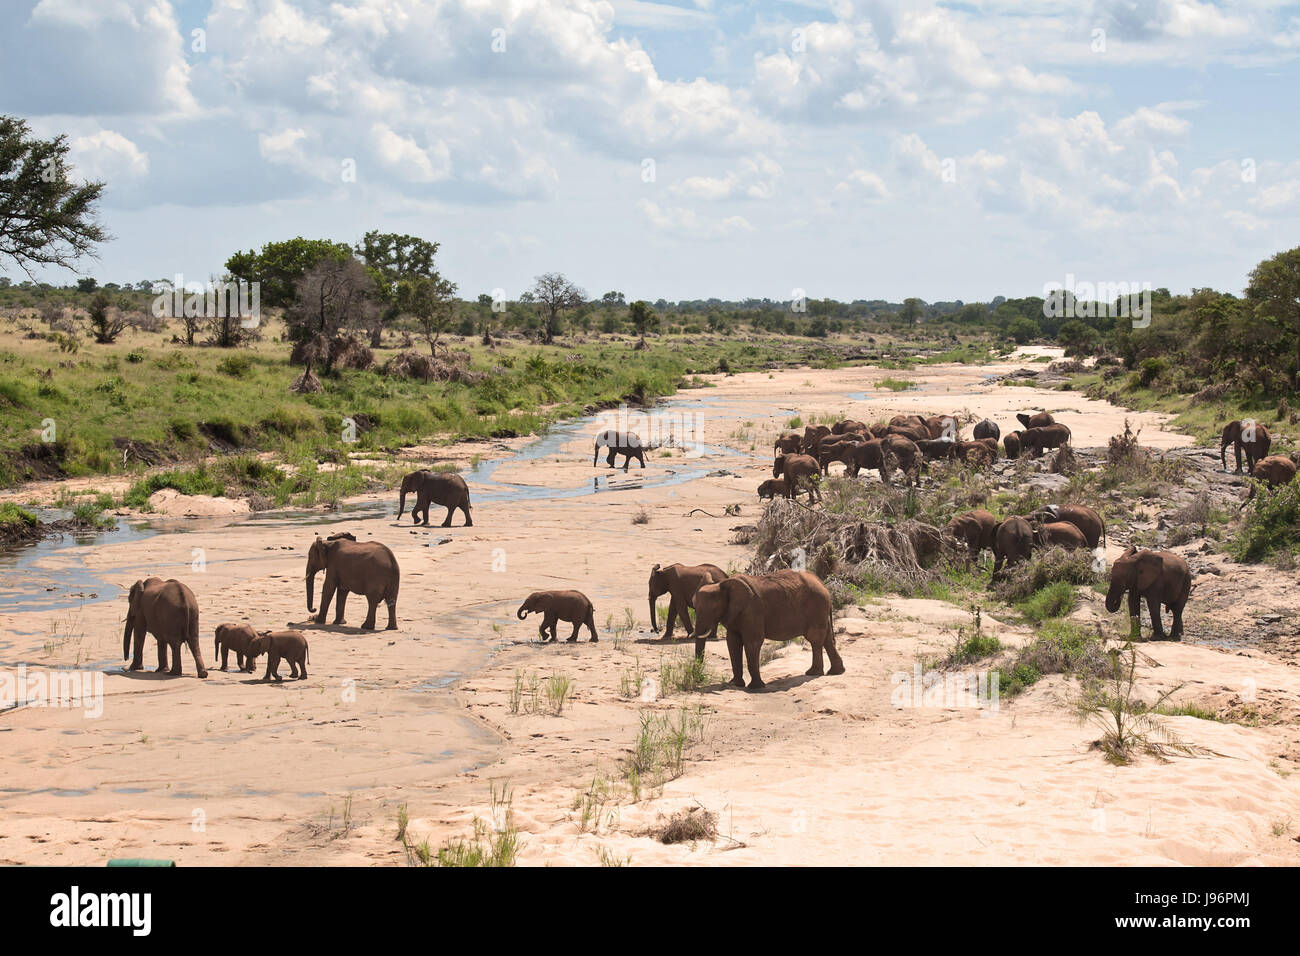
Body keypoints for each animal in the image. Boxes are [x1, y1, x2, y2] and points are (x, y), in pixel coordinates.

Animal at [689, 570, 841, 689]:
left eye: (714, 609)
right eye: (695, 608)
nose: (698, 677)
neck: (725, 585)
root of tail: (822, 584)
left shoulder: (752, 610)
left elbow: (752, 642)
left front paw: (755, 688)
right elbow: (732, 642)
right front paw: (735, 684)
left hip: (817, 606)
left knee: (815, 639)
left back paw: (813, 673)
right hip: (820, 609)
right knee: (827, 638)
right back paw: (835, 672)